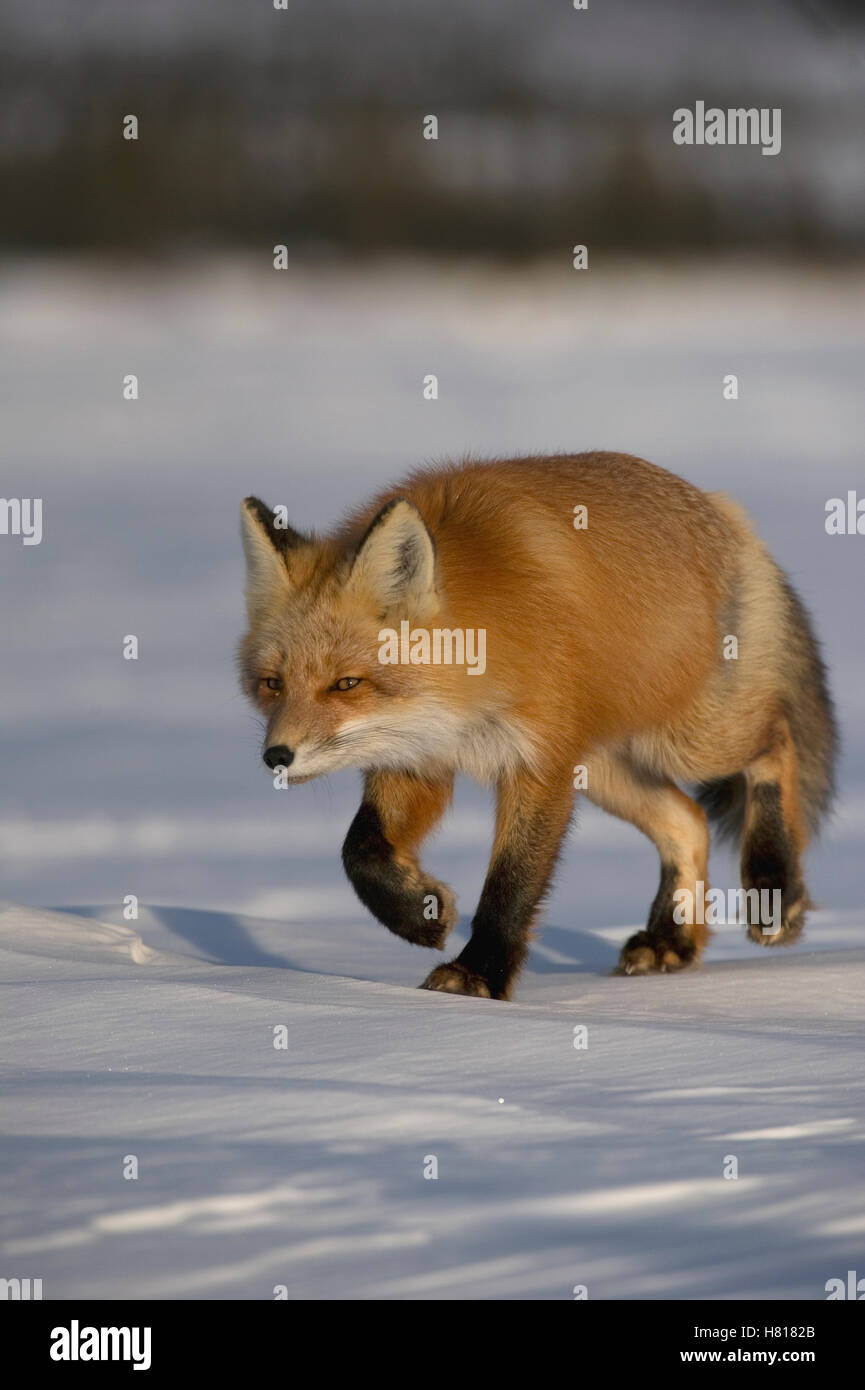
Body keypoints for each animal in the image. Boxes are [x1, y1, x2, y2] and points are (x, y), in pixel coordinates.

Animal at [238, 452, 837, 1001]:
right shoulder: (417, 758)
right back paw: (672, 941)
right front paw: (419, 914)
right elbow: (360, 851)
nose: (276, 757)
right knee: (689, 822)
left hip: (688, 739)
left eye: (346, 684)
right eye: (272, 684)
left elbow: (512, 884)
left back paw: (774, 887)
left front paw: (477, 975)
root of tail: (723, 509)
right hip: (602, 770)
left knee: (774, 744)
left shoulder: (537, 762)